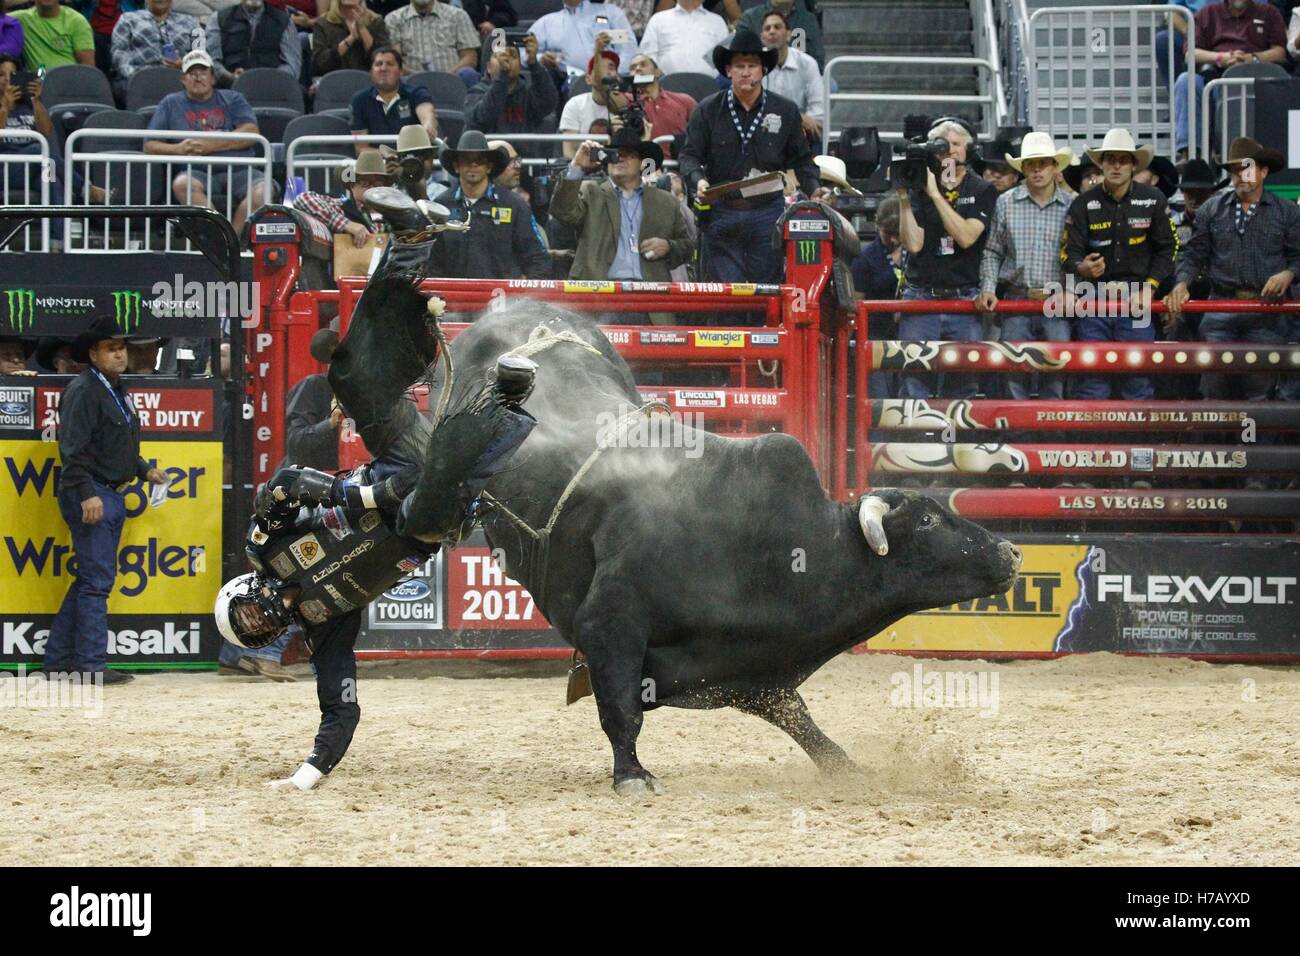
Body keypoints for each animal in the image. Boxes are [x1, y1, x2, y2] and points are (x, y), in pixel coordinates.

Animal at [441, 299, 1022, 796]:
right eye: (927, 519)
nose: (1012, 553)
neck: (778, 549)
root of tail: (514, 306)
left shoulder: (749, 669)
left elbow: (799, 719)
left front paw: (846, 767)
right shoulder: (610, 623)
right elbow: (622, 709)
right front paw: (631, 775)